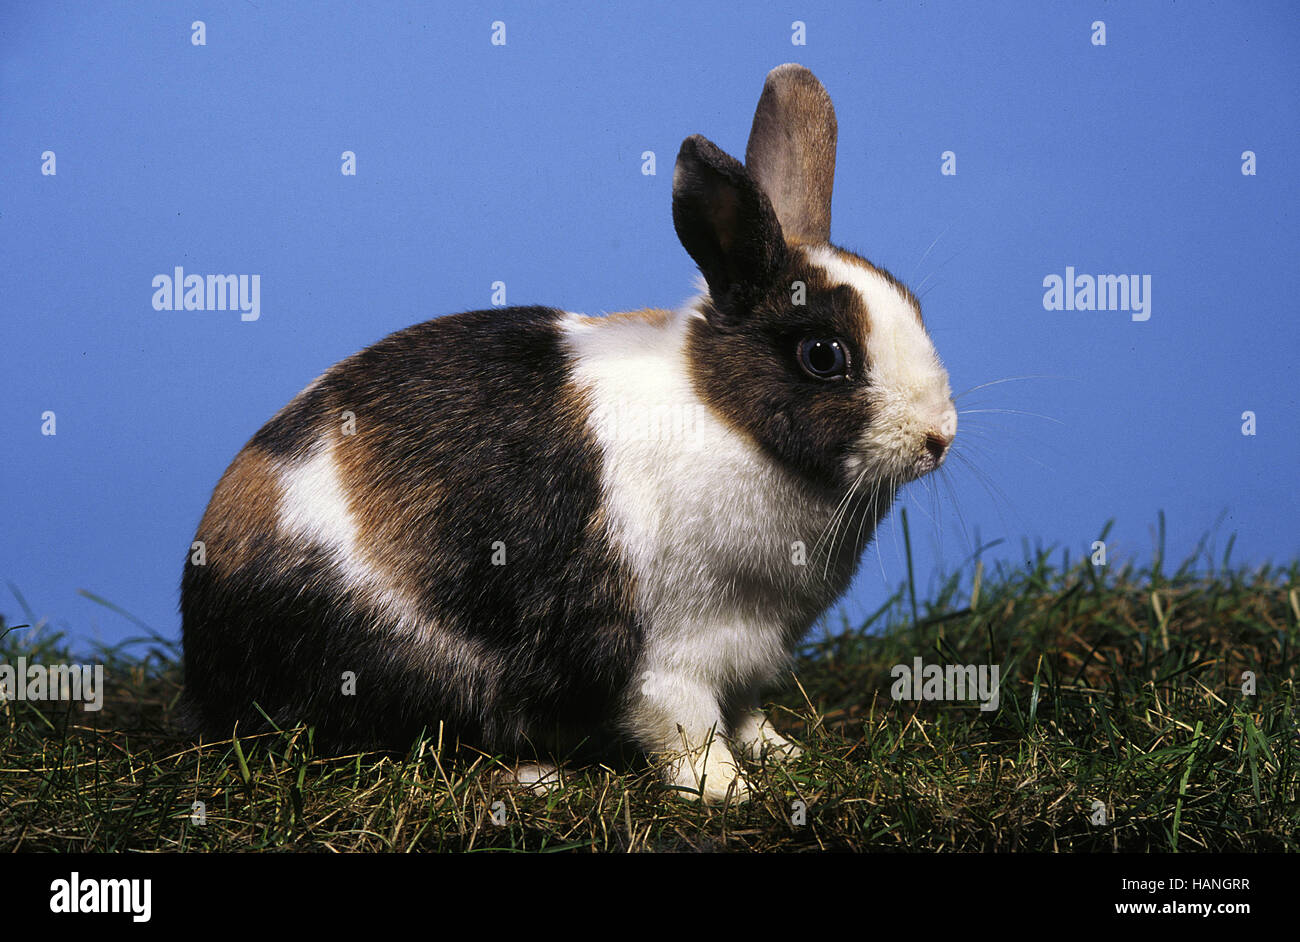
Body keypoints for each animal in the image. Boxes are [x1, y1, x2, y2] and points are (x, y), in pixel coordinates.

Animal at [180, 63, 957, 803]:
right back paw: (536, 777)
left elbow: (744, 715)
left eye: (916, 309)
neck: (724, 414)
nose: (939, 436)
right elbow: (688, 727)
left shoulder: (749, 653)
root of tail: (204, 660)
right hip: (402, 667)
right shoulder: (668, 652)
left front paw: (784, 756)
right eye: (824, 355)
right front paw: (725, 791)